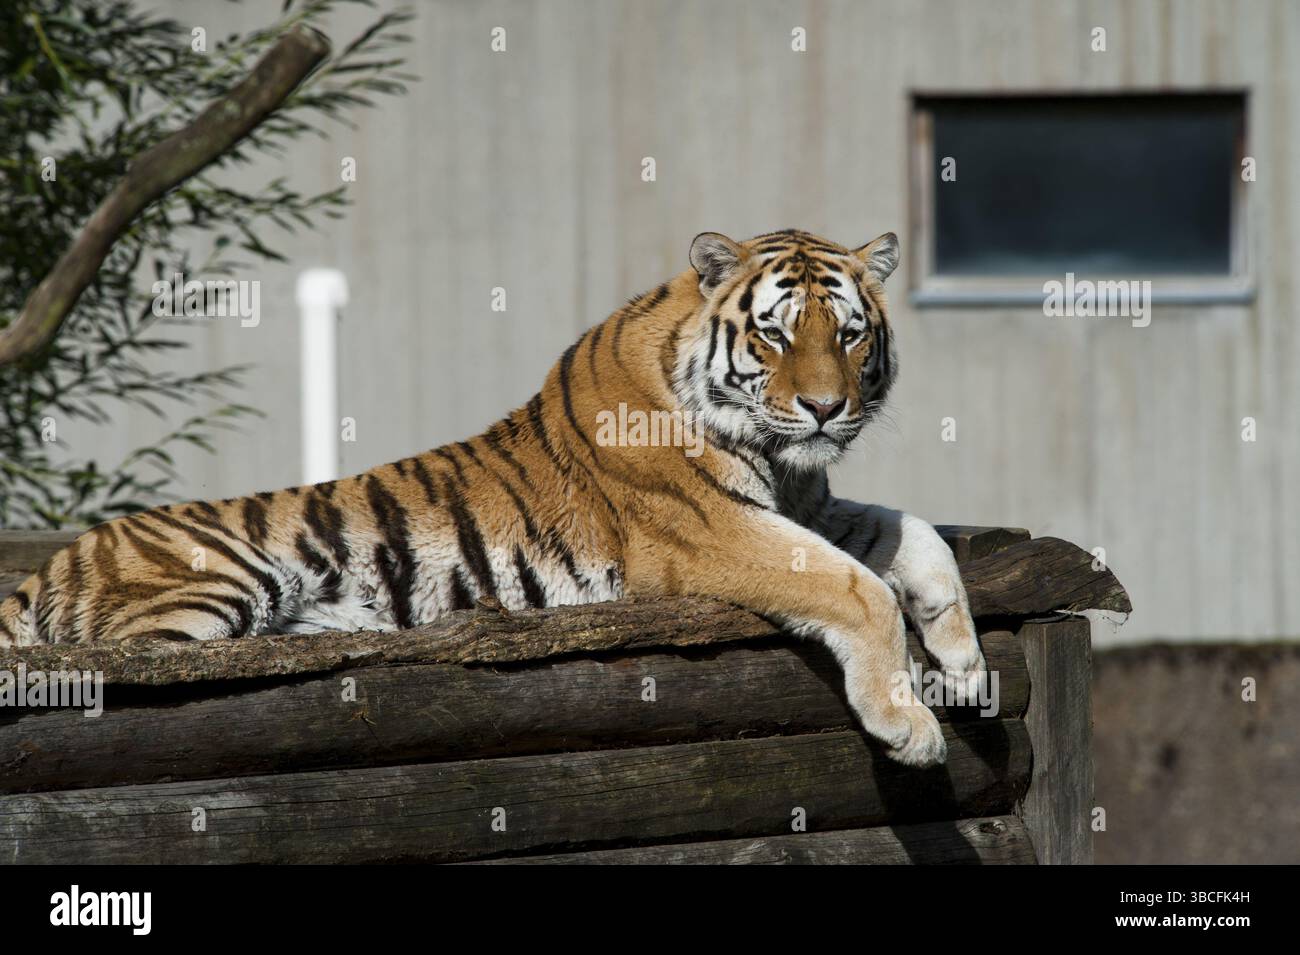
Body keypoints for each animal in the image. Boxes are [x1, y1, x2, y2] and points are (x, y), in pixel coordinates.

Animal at [0, 228, 985, 767]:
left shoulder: (804, 506)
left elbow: (918, 540)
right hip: (214, 586)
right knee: (131, 661)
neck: (781, 459)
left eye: (849, 334)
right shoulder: (713, 532)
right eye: (776, 335)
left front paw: (968, 665)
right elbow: (859, 588)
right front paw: (910, 724)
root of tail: (58, 556)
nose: (824, 407)